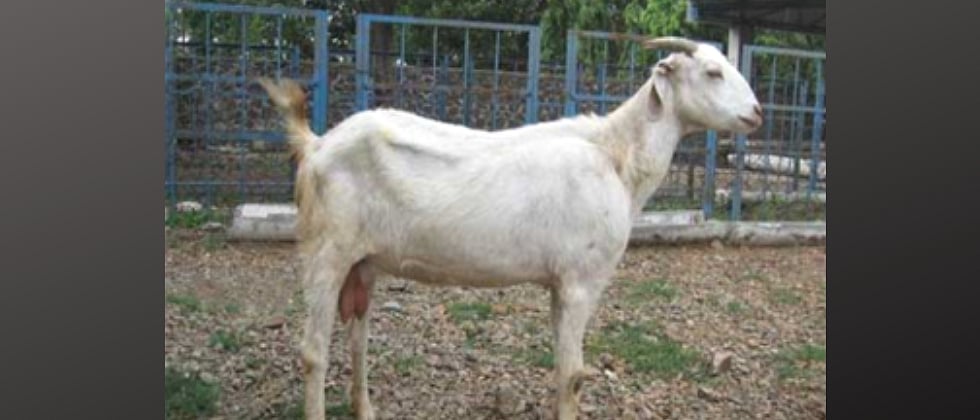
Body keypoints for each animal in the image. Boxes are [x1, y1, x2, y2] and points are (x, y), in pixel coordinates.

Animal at [258, 36, 762, 420]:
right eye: (713, 72)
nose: (757, 113)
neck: (617, 157)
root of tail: (316, 144)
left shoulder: (560, 283)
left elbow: (563, 369)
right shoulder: (582, 280)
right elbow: (573, 375)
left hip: (363, 261)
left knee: (358, 339)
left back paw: (366, 409)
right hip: (326, 250)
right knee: (313, 351)